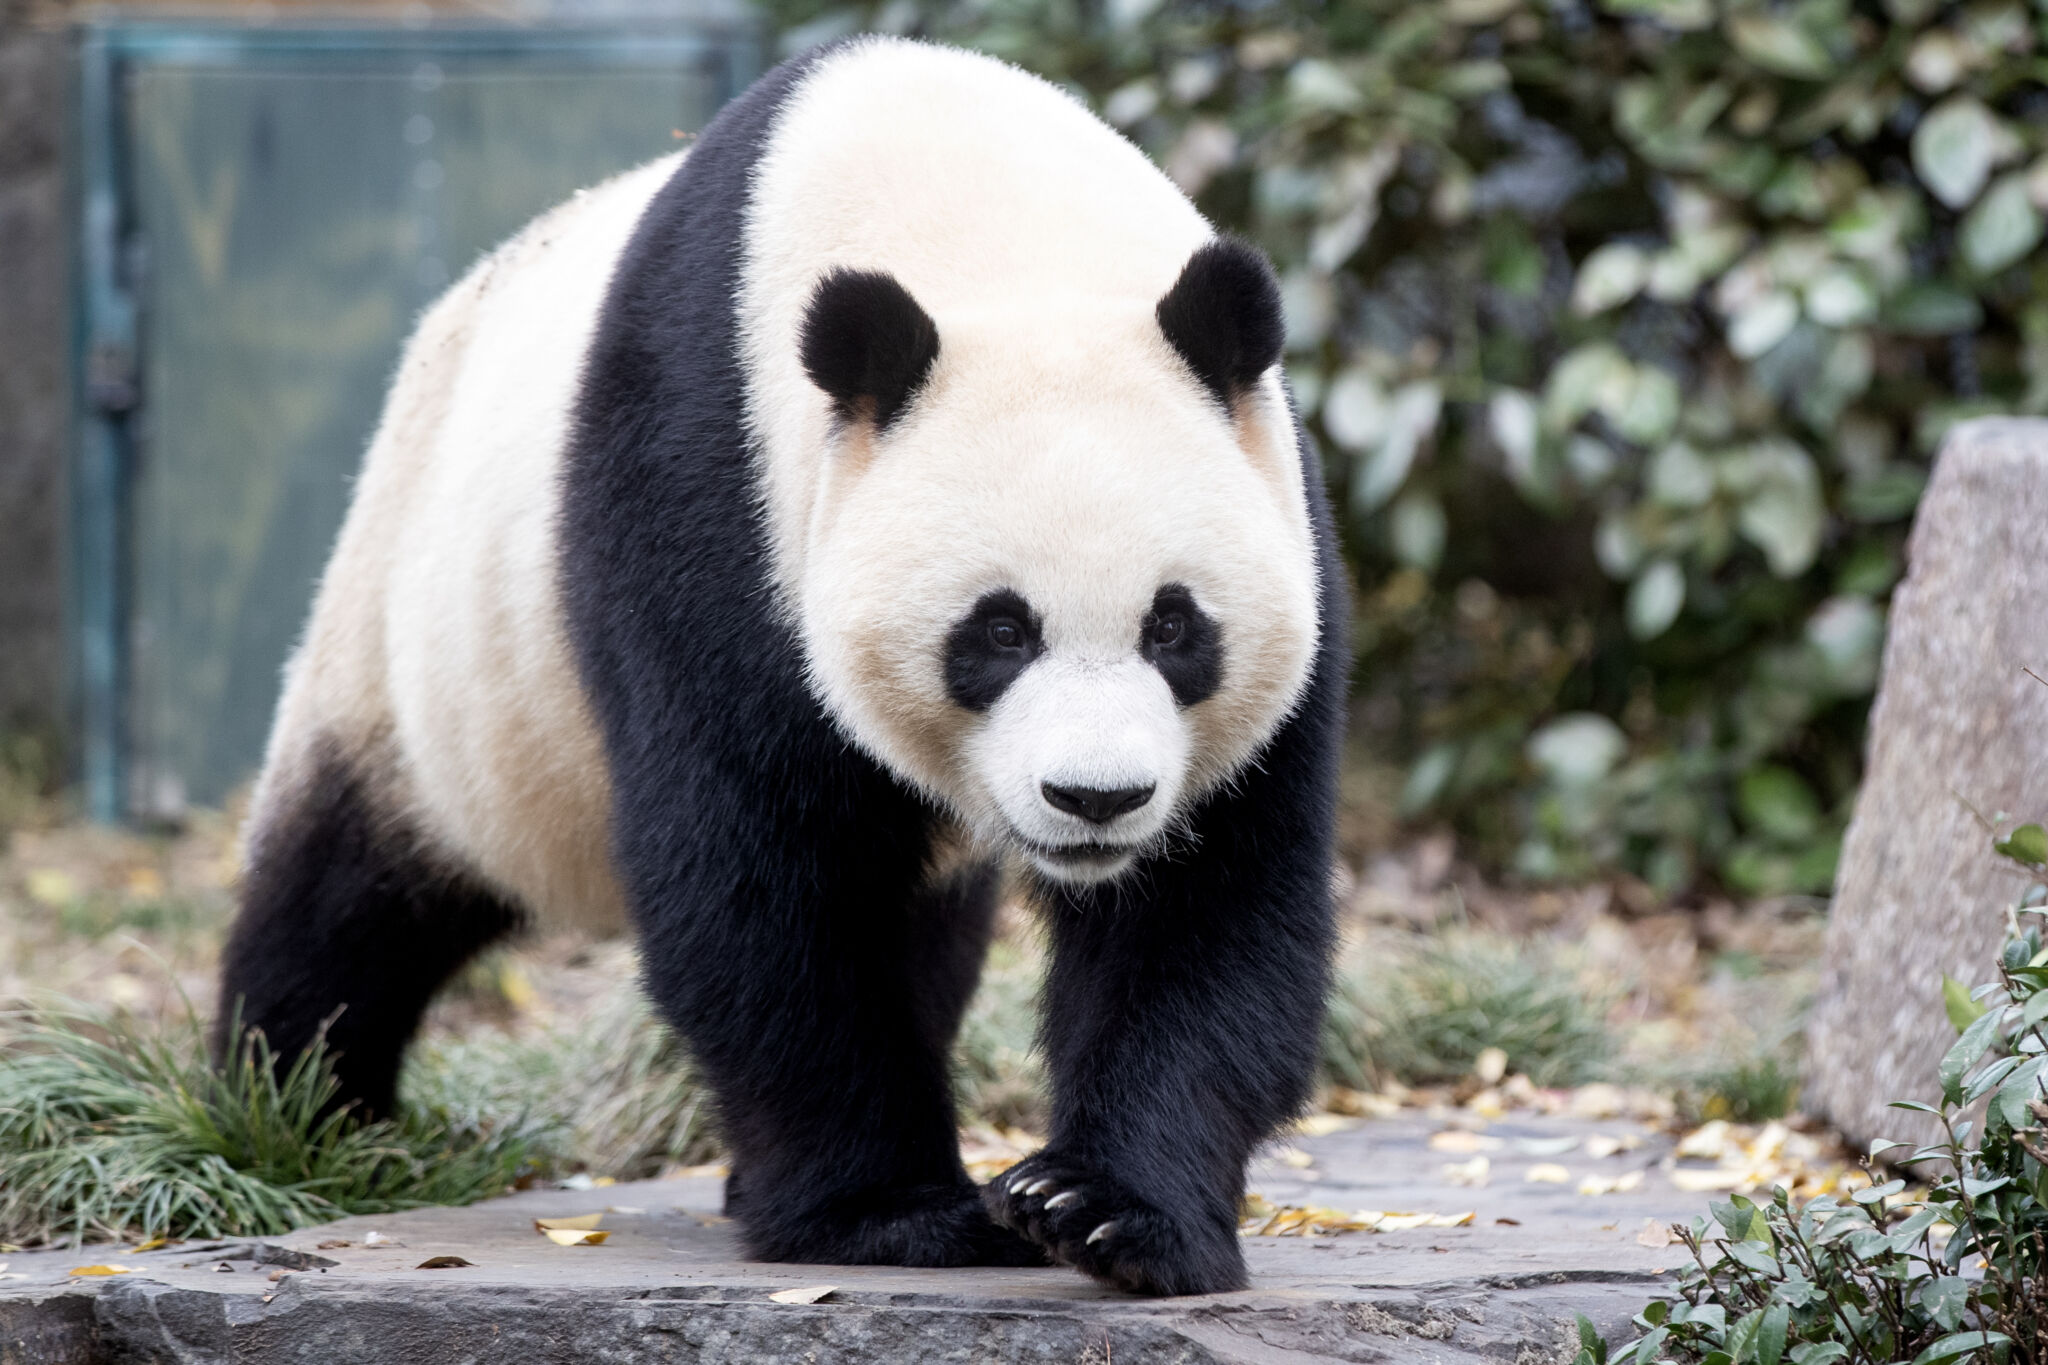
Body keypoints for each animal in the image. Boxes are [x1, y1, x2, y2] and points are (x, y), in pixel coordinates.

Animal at [215, 36, 1347, 1296]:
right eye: (998, 633)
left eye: (1173, 629)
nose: (1094, 800)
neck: (991, 225)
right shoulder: (711, 495)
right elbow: (760, 881)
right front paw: (891, 1216)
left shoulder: (1280, 518)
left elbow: (1209, 905)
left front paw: (1103, 1212)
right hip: (414, 649)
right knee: (345, 894)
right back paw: (299, 1114)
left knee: (922, 925)